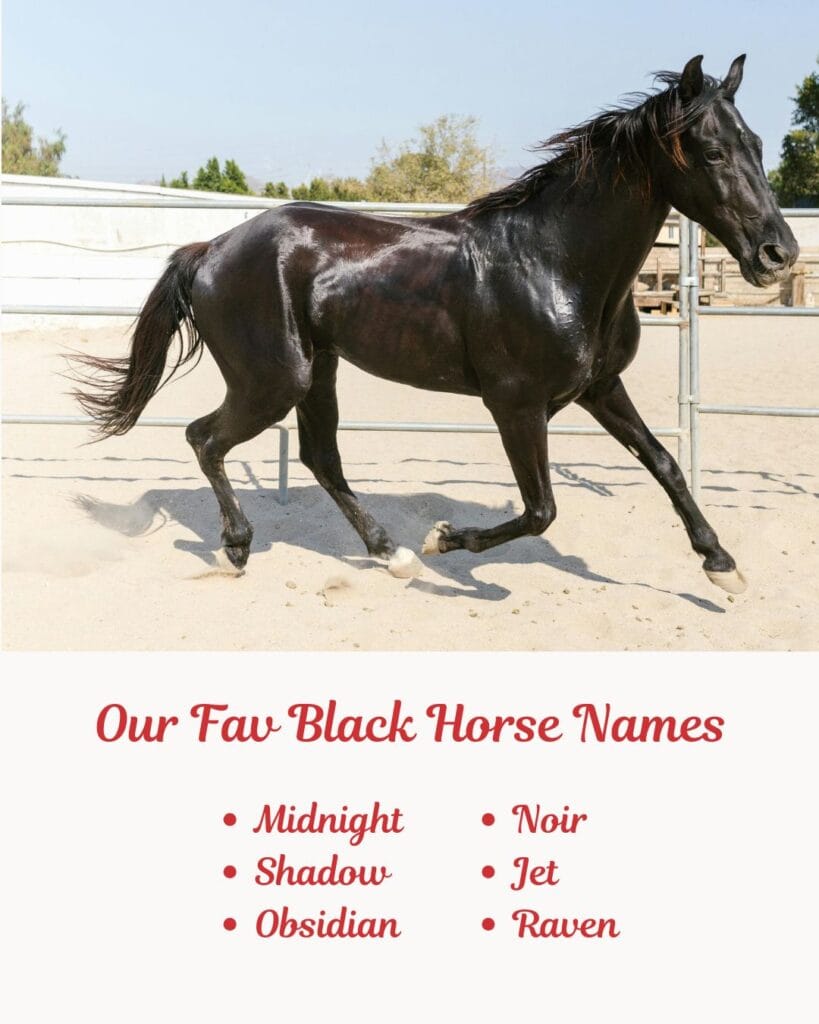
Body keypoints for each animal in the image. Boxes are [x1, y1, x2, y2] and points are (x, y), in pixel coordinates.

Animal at [74, 54, 798, 593]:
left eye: (757, 144)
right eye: (710, 152)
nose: (778, 254)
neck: (555, 263)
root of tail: (210, 250)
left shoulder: (599, 388)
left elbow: (665, 464)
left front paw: (721, 566)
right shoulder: (516, 404)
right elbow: (542, 509)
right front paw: (447, 539)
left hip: (317, 373)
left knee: (319, 457)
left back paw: (390, 554)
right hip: (273, 381)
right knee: (205, 438)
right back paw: (239, 547)